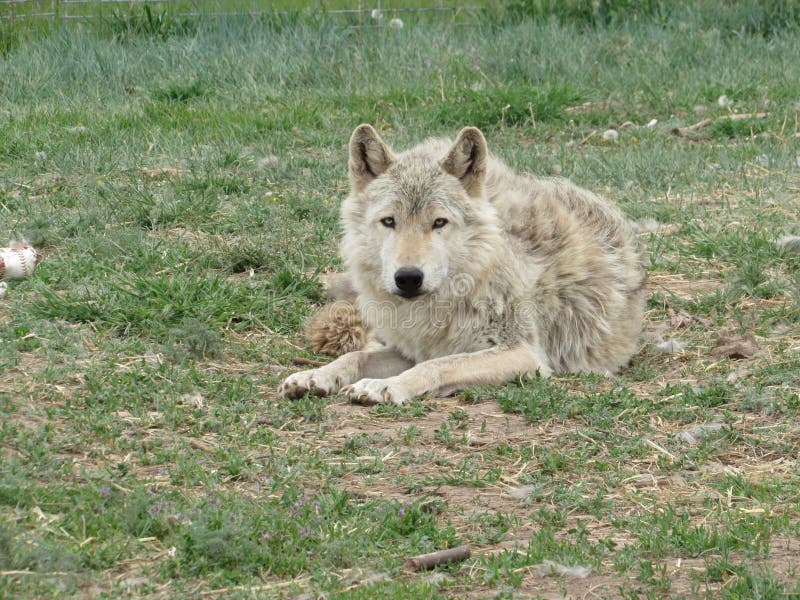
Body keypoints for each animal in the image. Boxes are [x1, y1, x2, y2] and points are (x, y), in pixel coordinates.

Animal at [279, 125, 645, 405]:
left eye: (439, 222)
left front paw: (385, 386)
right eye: (389, 221)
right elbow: (355, 357)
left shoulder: (523, 354)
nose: (408, 278)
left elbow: (437, 366)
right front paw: (315, 376)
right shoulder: (412, 349)